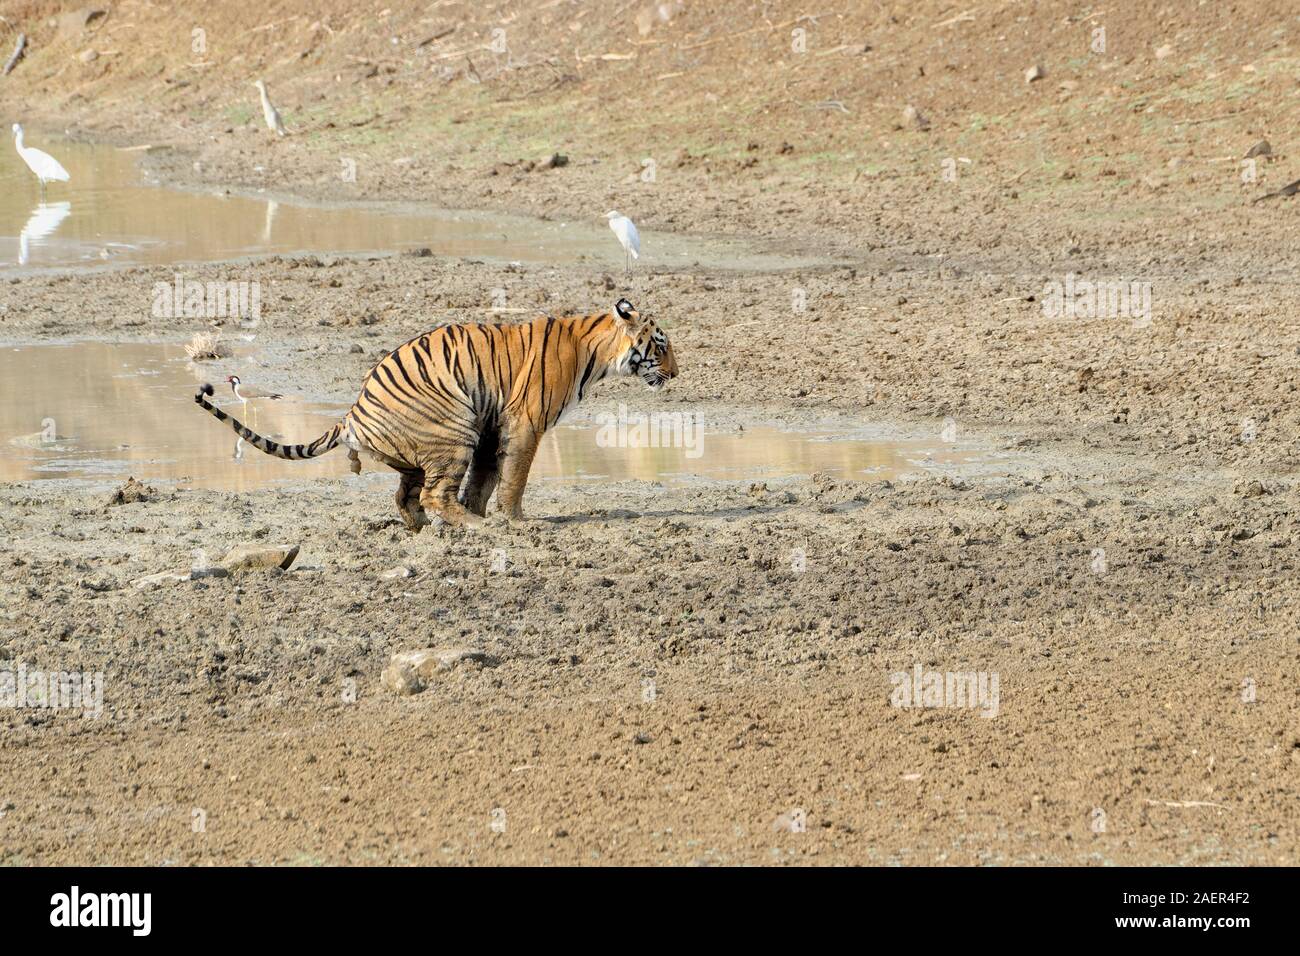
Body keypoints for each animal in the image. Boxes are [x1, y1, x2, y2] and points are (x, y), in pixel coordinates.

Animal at [194, 298, 678, 530]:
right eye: (662, 345)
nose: (676, 373)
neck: (597, 350)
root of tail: (352, 412)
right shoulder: (524, 422)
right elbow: (515, 476)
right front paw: (513, 521)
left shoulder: (492, 426)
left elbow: (484, 478)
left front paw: (485, 511)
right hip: (452, 428)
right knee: (432, 494)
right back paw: (472, 527)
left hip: (432, 444)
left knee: (406, 495)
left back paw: (428, 527)